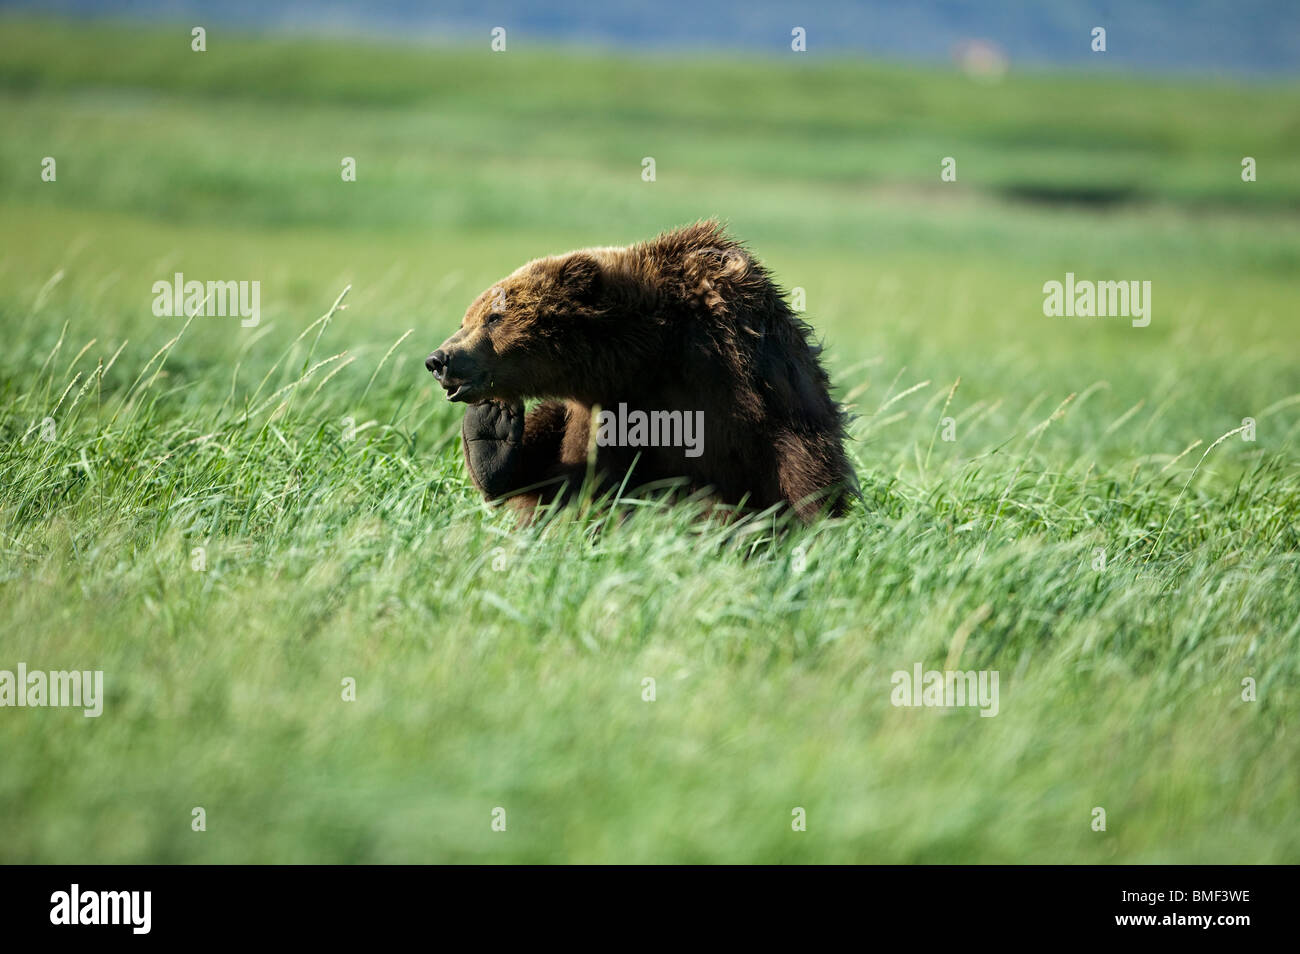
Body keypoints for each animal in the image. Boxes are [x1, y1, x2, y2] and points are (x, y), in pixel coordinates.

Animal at [425, 220, 856, 523]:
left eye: (494, 317)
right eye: (467, 318)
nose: (439, 359)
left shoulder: (741, 377)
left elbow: (796, 467)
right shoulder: (603, 406)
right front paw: (491, 423)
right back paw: (490, 436)